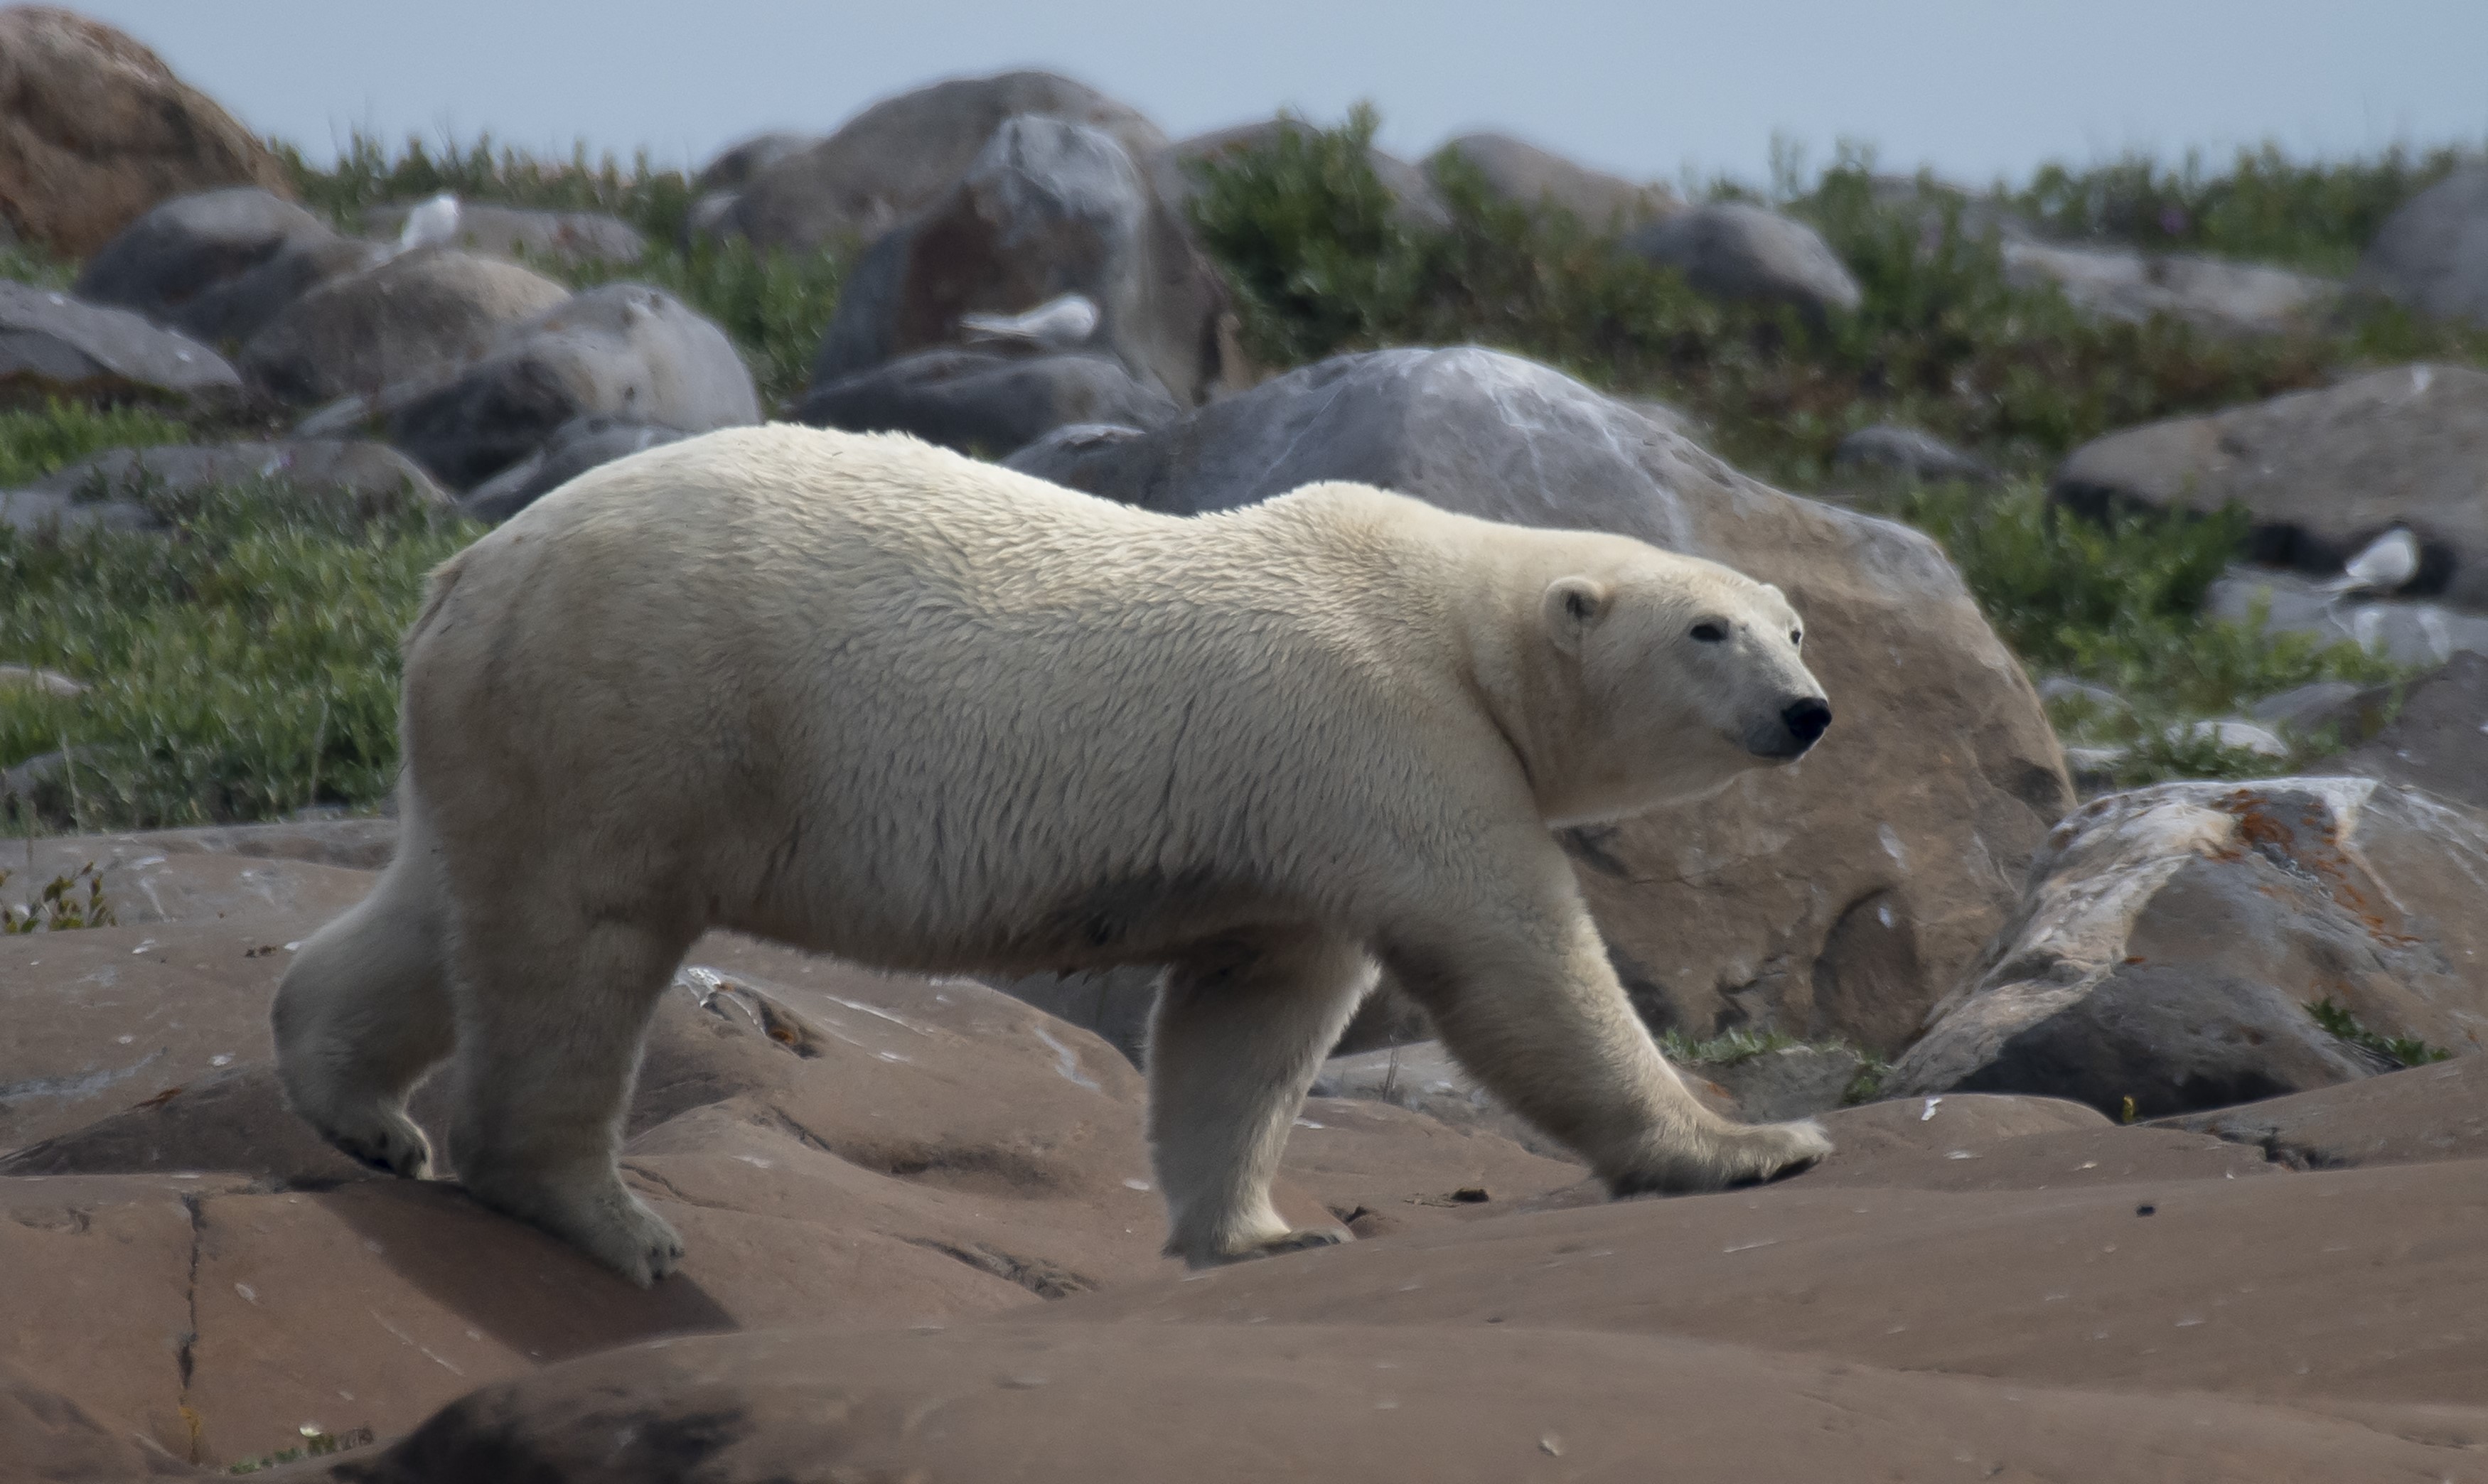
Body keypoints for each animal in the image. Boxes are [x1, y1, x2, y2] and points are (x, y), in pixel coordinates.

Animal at [272, 424, 1837, 1285]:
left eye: (1793, 625)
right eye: (1708, 631)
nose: (1808, 711)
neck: (1450, 612)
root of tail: (467, 570)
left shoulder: (1298, 822)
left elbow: (1250, 1017)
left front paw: (1264, 1233)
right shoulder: (1384, 732)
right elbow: (1516, 959)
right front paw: (1753, 1146)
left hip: (521, 722)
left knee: (449, 907)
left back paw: (358, 1105)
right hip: (646, 695)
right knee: (581, 942)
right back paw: (606, 1216)